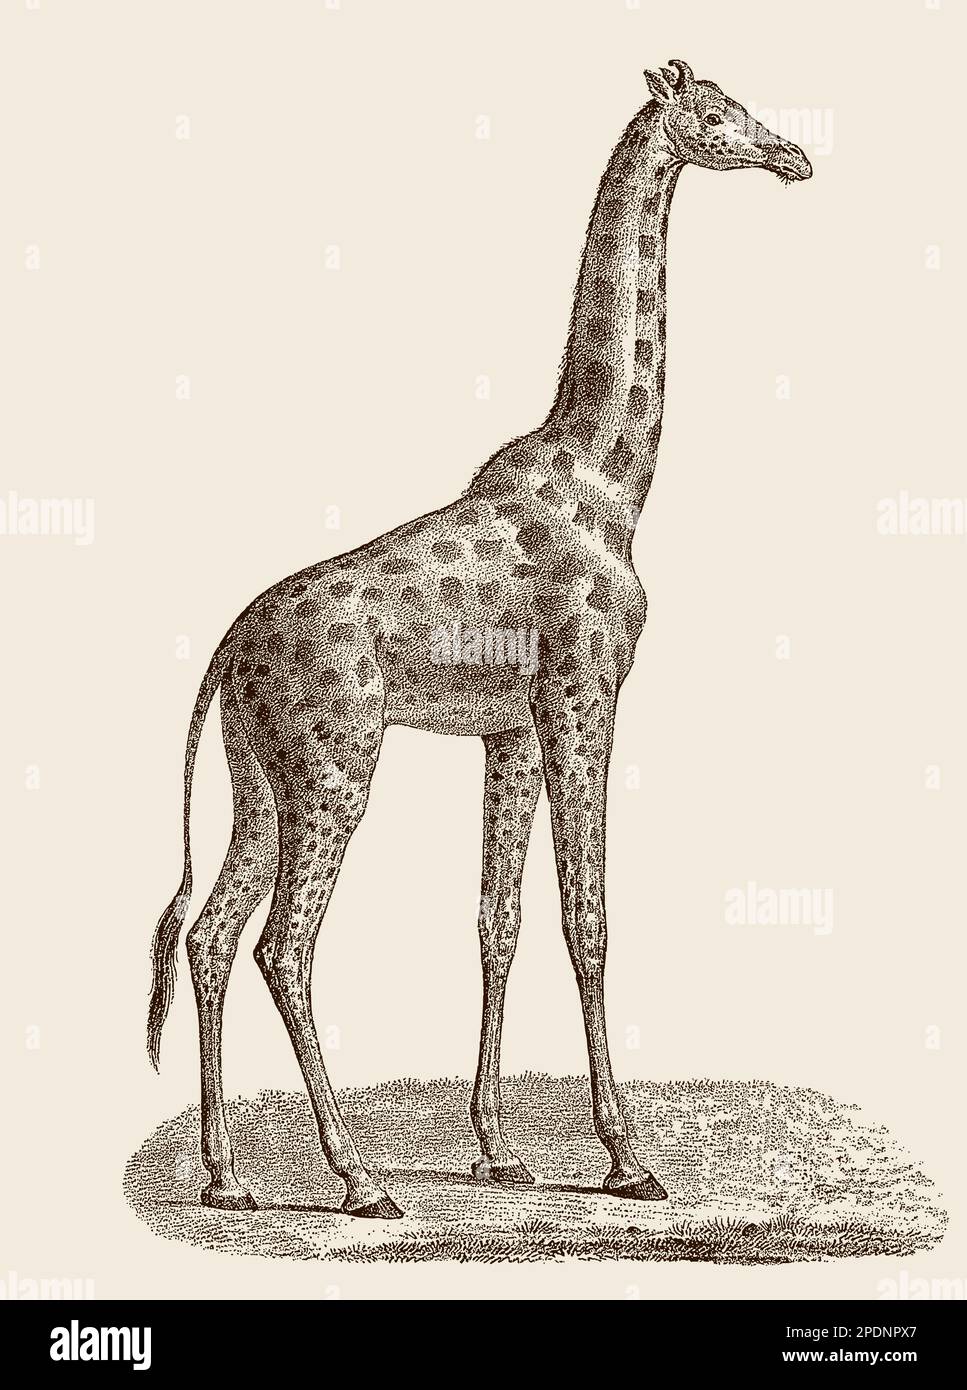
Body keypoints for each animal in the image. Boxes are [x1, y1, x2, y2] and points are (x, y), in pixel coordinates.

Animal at [148, 59, 811, 1218]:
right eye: (717, 117)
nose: (793, 154)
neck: (614, 478)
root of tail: (227, 650)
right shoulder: (586, 695)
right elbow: (588, 917)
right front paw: (626, 1158)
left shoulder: (510, 728)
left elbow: (498, 921)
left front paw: (499, 1151)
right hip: (336, 768)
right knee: (285, 943)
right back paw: (357, 1176)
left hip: (259, 773)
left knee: (214, 931)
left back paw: (227, 1176)